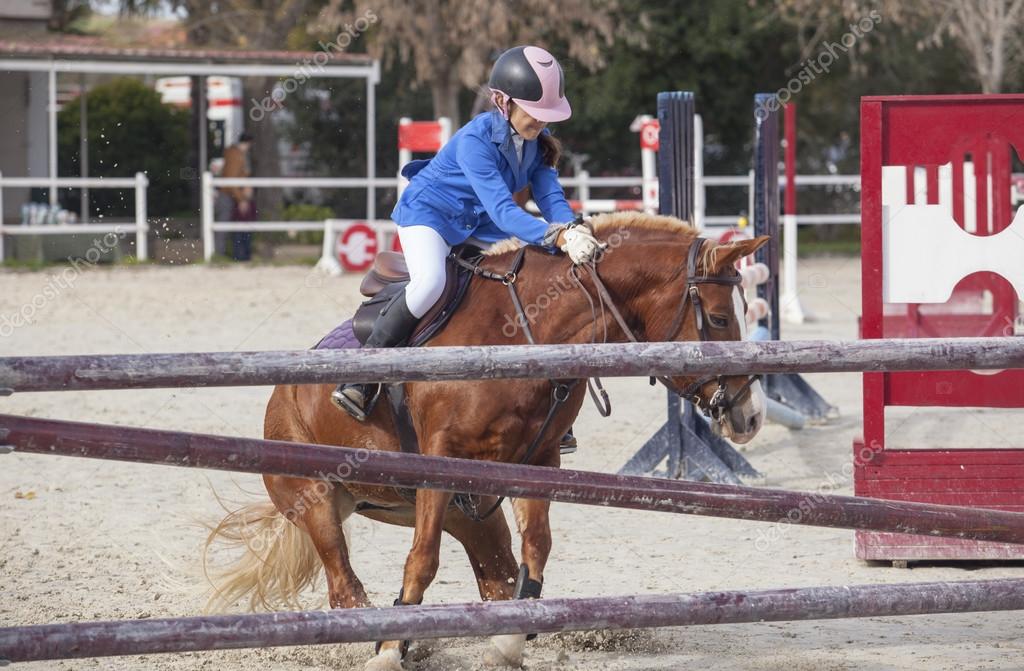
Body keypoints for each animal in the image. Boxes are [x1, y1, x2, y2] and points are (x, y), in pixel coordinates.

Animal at [203, 211, 769, 670]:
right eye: (720, 318)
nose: (750, 416)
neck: (523, 328)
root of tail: (284, 390)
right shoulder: (440, 460)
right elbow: (423, 560)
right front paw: (389, 650)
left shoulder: (537, 462)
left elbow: (535, 548)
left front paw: (509, 643)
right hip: (315, 499)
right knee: (344, 587)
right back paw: (381, 638)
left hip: (471, 514)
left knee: (494, 574)